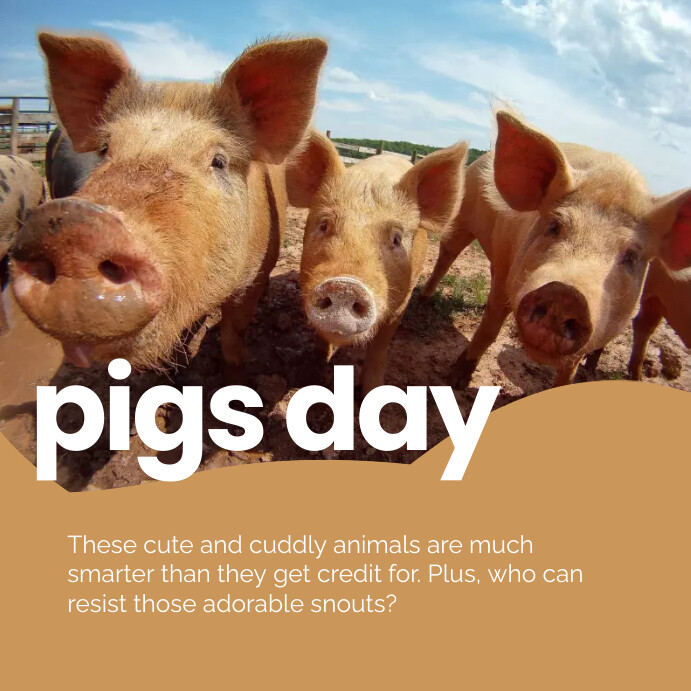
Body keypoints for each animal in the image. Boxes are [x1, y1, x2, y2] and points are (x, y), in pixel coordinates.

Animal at [11, 32, 327, 372]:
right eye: (105, 149)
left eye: (219, 161)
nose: (74, 223)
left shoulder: (252, 280)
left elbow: (234, 332)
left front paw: (240, 367)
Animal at [287, 131, 468, 394]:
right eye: (324, 225)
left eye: (397, 239)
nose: (345, 286)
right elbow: (321, 339)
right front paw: (311, 378)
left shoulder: (401, 303)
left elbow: (380, 346)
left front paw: (373, 390)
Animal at [422, 110, 691, 387]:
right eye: (554, 226)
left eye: (631, 256)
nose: (567, 294)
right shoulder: (507, 271)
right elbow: (489, 328)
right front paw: (455, 381)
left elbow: (568, 371)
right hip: (462, 217)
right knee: (447, 255)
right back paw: (424, 297)